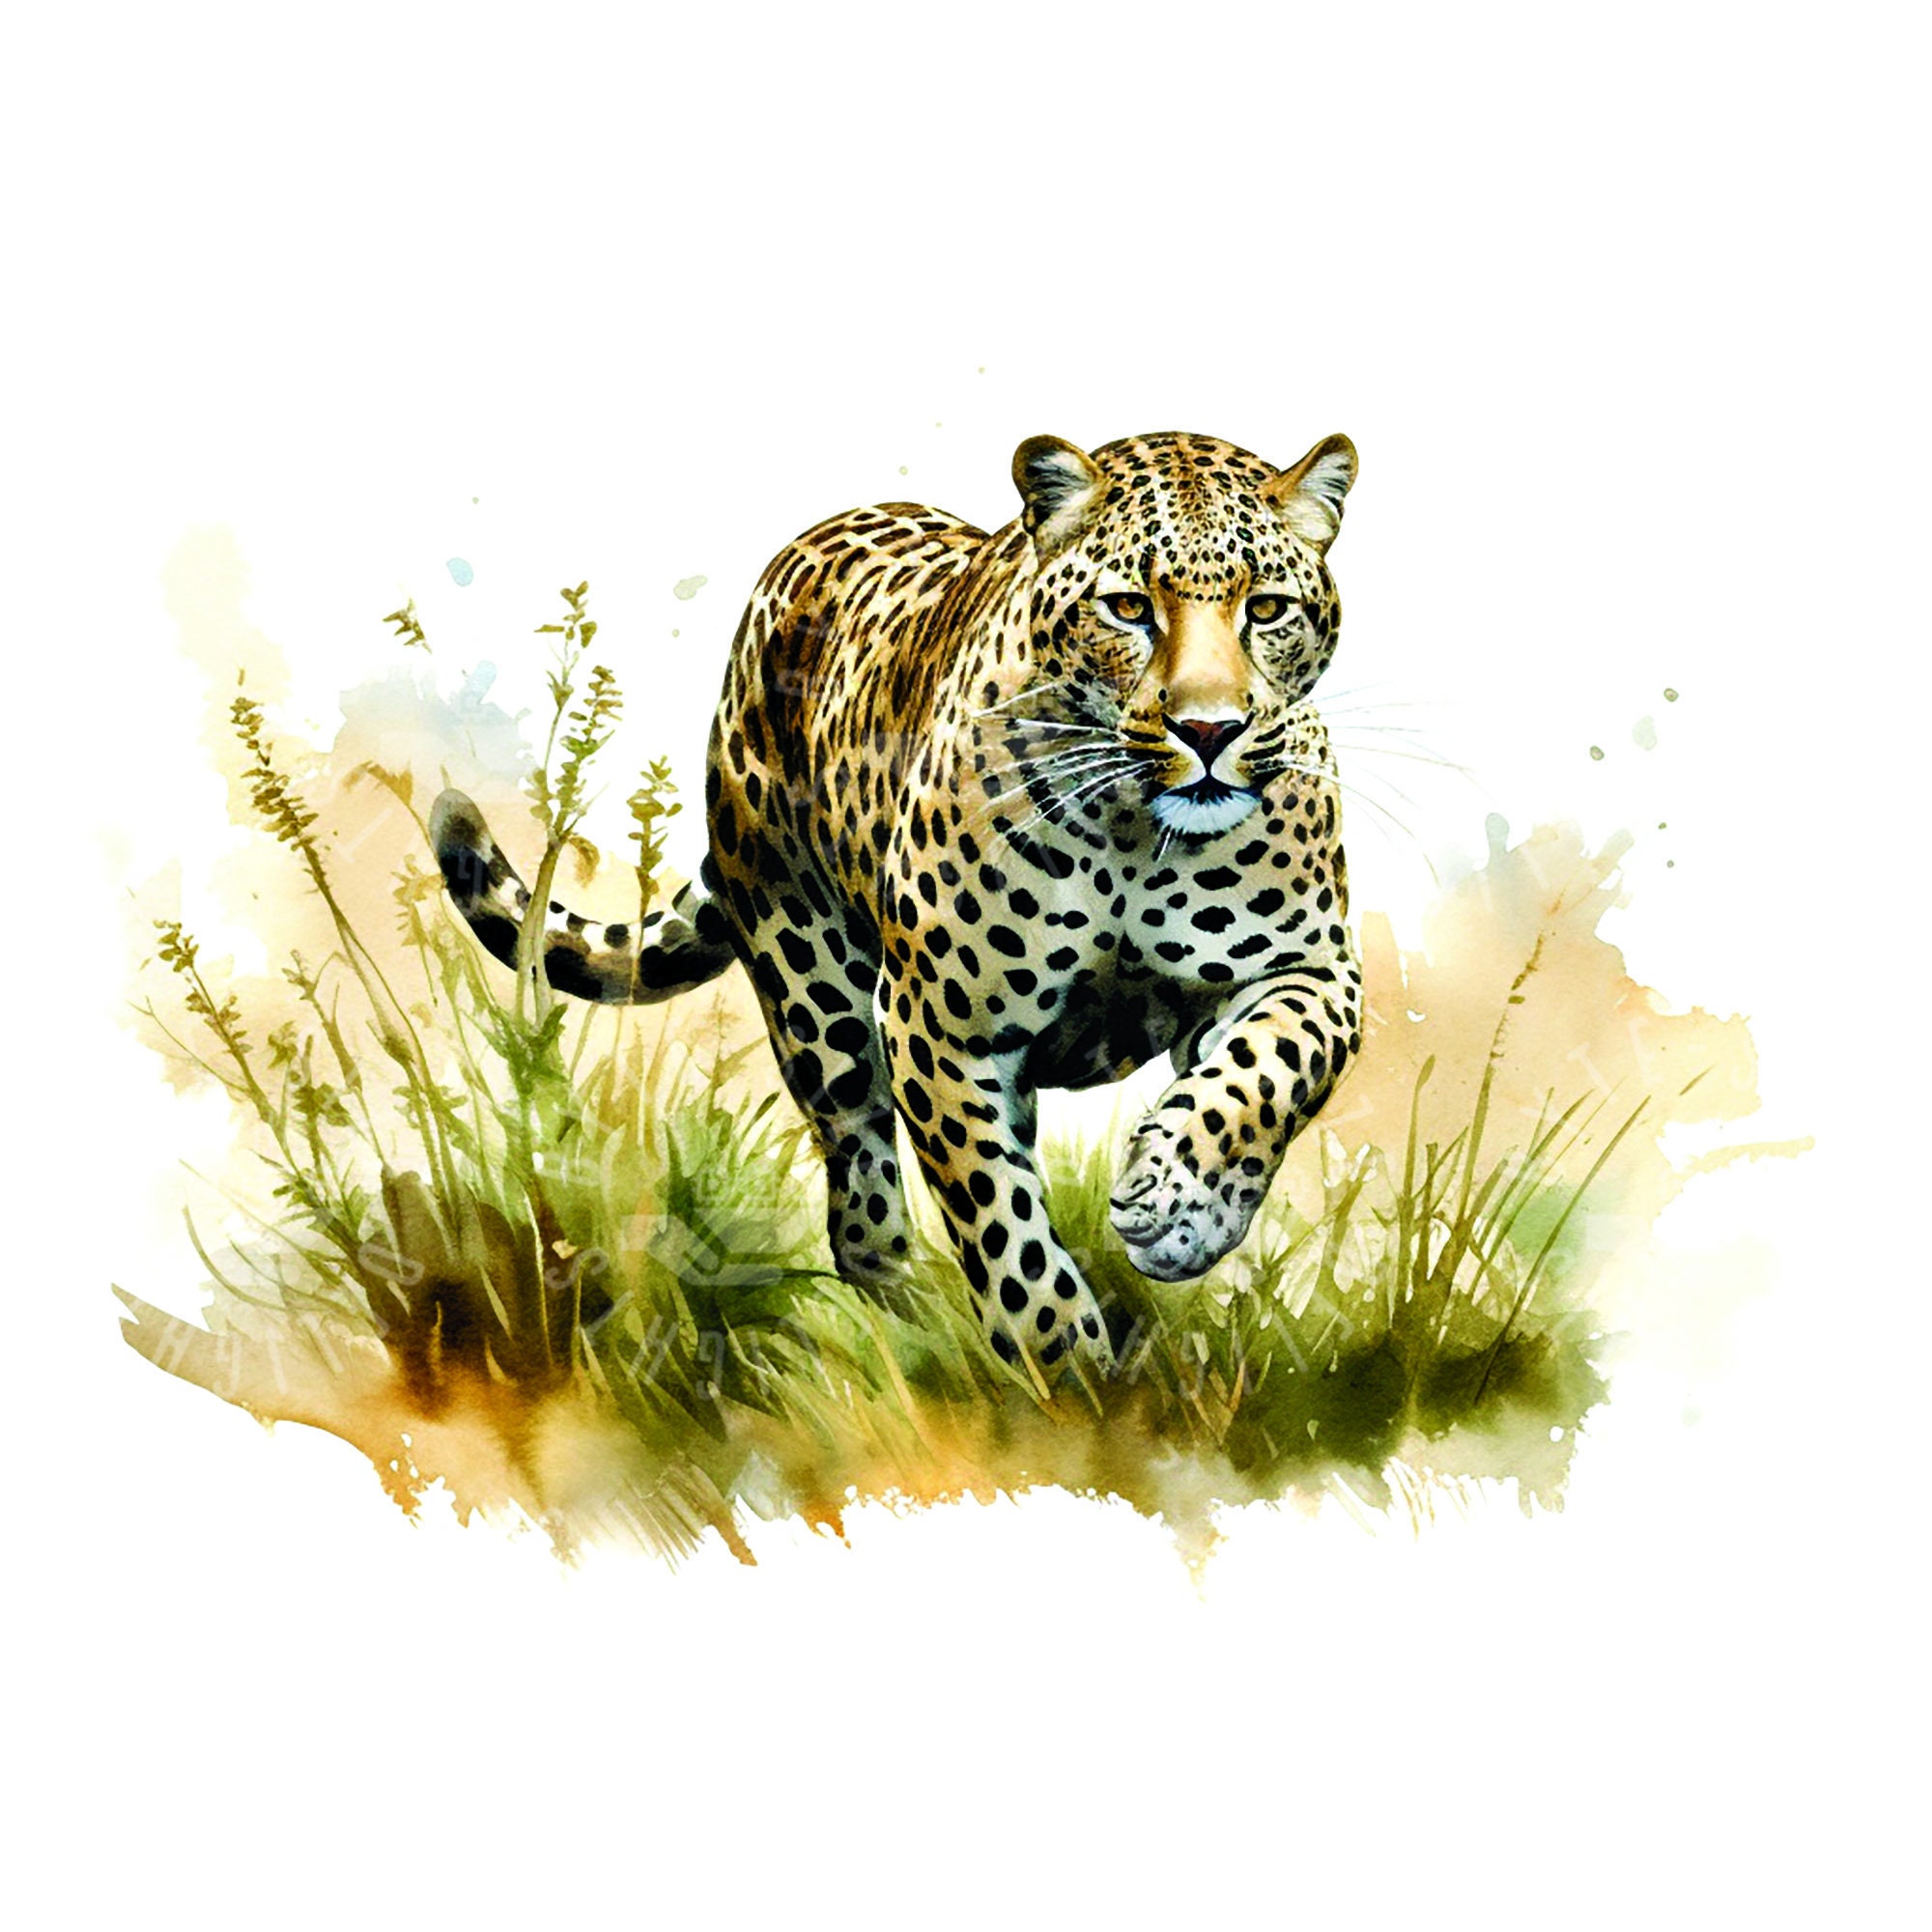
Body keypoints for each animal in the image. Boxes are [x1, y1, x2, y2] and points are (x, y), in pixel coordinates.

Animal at [431, 428, 1365, 1373]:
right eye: (1129, 608)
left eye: (1268, 609)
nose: (1210, 731)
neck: (1135, 832)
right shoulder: (943, 1030)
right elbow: (1002, 1225)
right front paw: (1070, 1374)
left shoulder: (1307, 967)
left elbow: (1266, 1073)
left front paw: (1182, 1209)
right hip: (811, 985)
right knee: (861, 1185)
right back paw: (904, 1320)